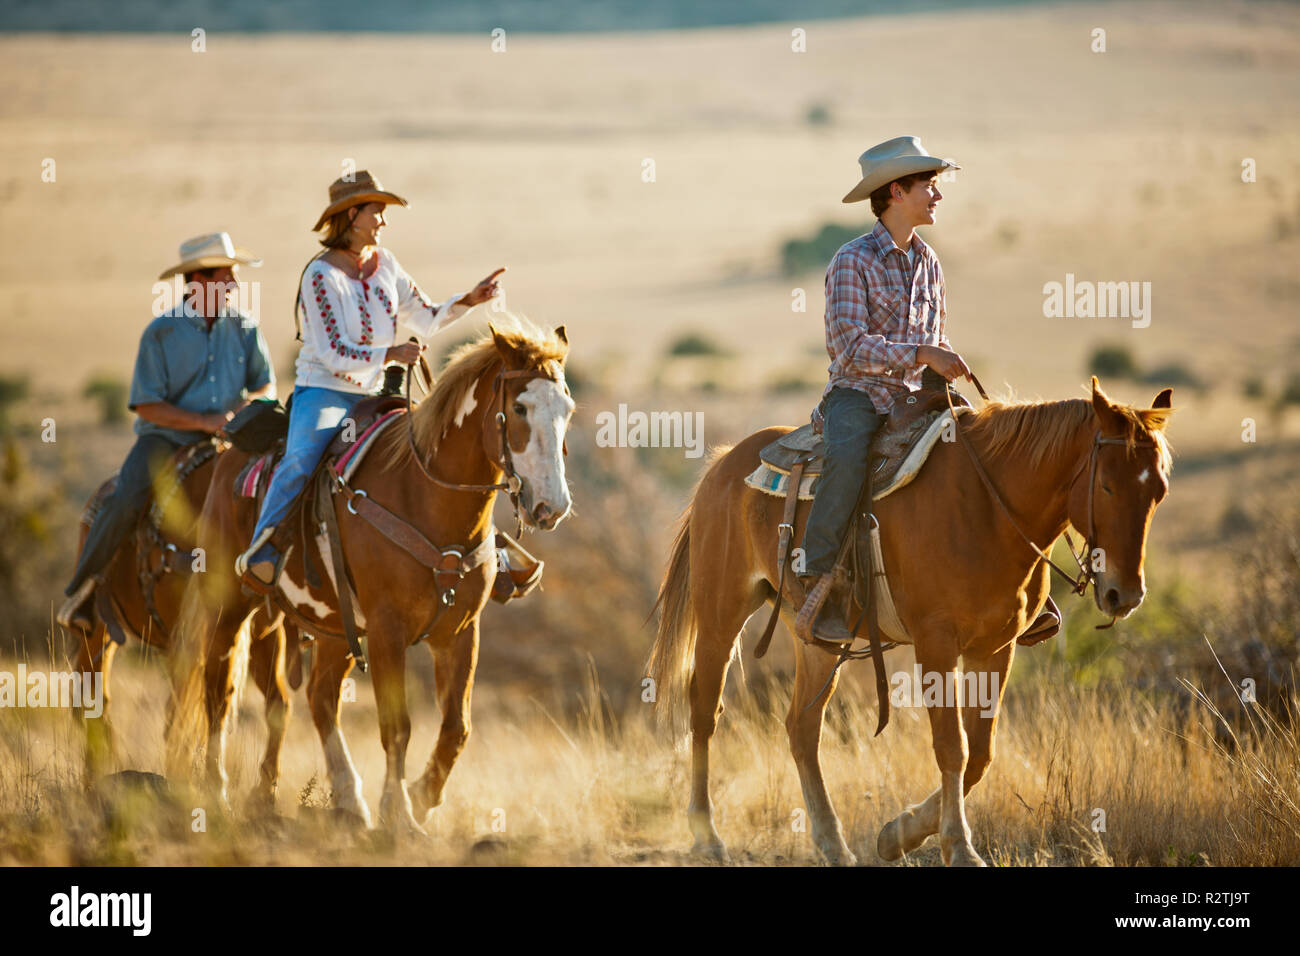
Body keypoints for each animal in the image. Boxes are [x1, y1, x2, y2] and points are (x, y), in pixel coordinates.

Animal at [66, 442, 297, 805]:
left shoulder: (263, 634)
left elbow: (277, 704)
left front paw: (264, 792)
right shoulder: (209, 631)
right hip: (97, 629)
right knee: (92, 697)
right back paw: (94, 781)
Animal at [169, 318, 574, 834]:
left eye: (568, 409)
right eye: (520, 408)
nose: (551, 507)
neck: (425, 497)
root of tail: (226, 456)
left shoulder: (460, 631)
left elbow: (456, 728)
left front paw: (421, 796)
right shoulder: (387, 631)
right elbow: (397, 726)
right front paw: (399, 813)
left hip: (333, 626)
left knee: (319, 698)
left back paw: (341, 799)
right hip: (230, 601)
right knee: (219, 690)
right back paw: (217, 791)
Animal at [647, 377, 1174, 865]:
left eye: (1159, 491)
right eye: (1106, 485)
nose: (1124, 594)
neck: (987, 507)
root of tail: (723, 464)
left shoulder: (994, 647)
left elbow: (980, 752)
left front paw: (898, 833)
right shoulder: (936, 642)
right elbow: (952, 746)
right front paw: (958, 846)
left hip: (814, 637)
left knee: (802, 727)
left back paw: (832, 842)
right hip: (721, 616)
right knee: (704, 712)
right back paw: (707, 836)